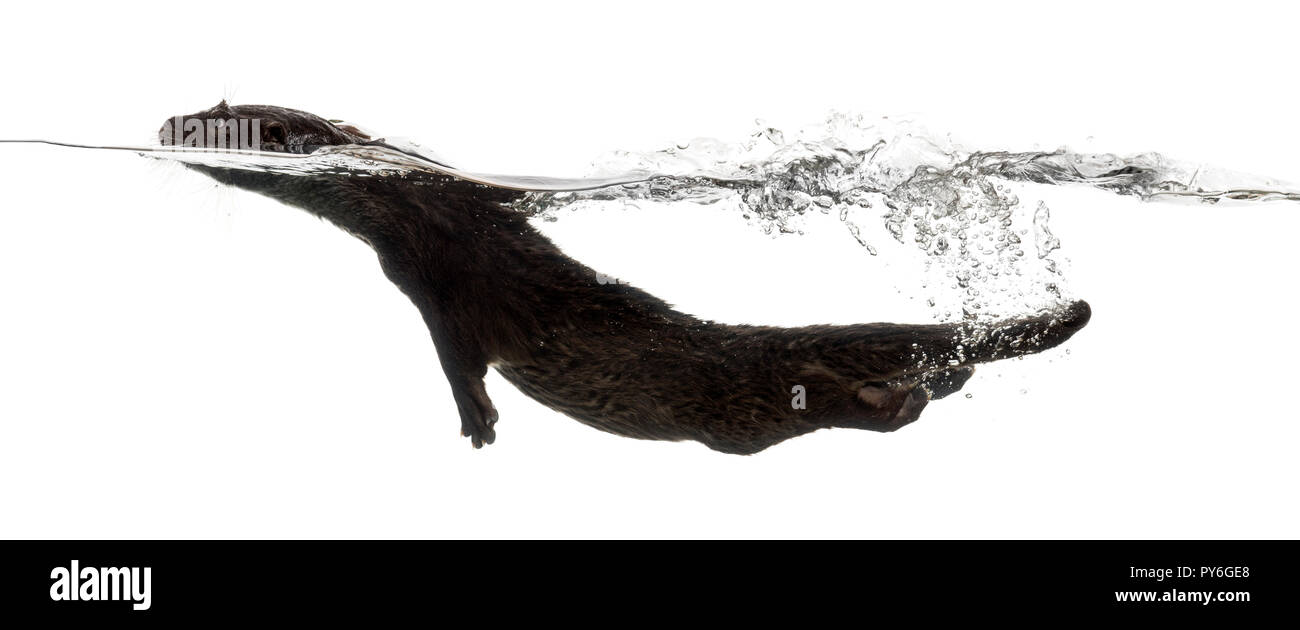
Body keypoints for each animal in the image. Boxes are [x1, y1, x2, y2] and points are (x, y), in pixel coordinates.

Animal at [160, 101, 1090, 455]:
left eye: (210, 123)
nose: (165, 122)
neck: (432, 219)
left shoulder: (449, 292)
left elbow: (460, 360)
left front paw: (478, 418)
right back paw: (943, 378)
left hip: (746, 412)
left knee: (842, 401)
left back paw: (905, 393)